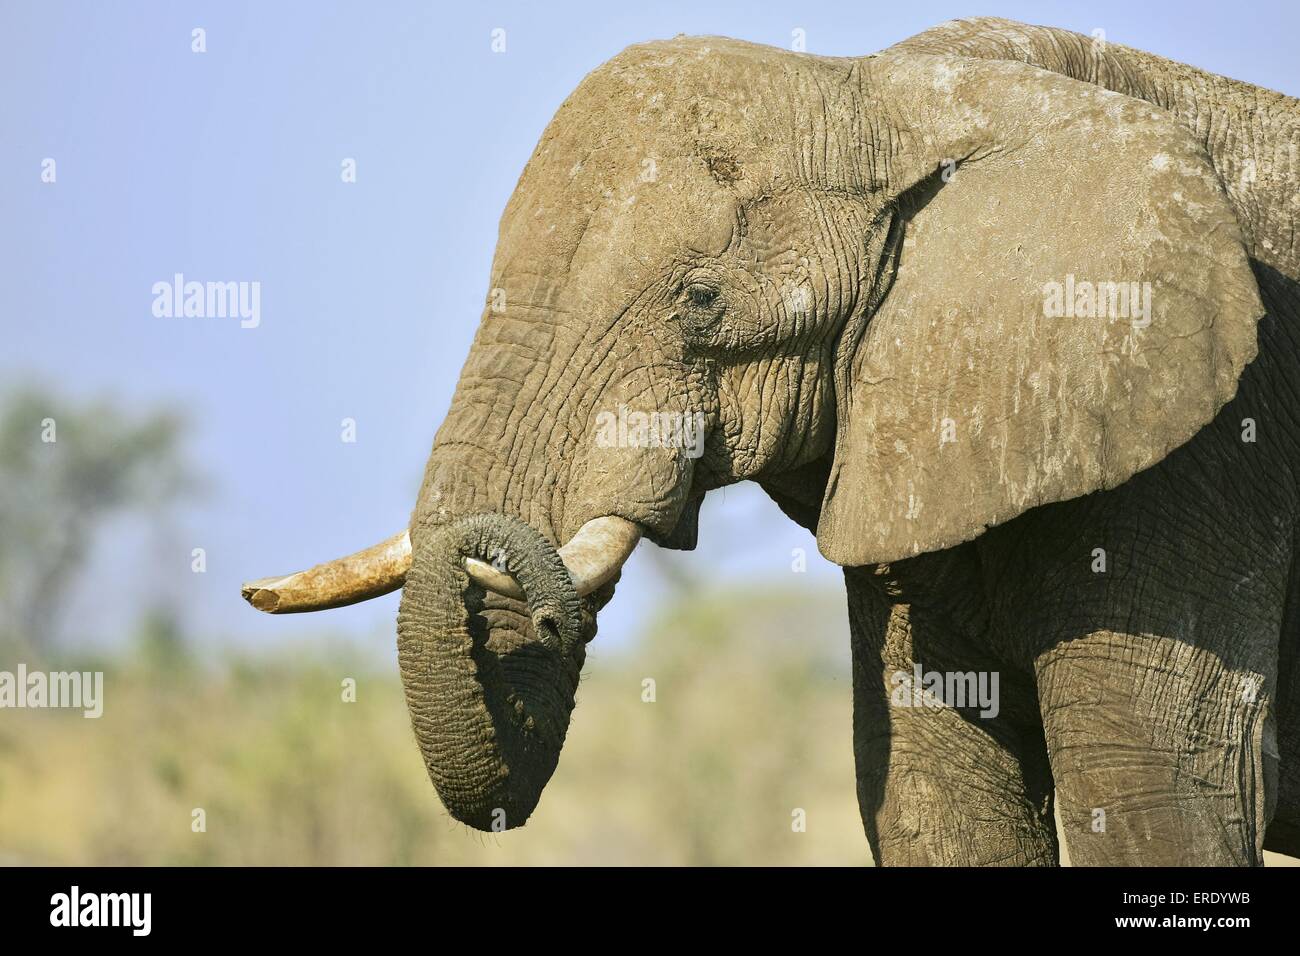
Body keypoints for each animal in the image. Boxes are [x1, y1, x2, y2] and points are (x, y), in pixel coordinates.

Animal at [242, 17, 1300, 866]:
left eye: (700, 300)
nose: (522, 583)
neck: (887, 88)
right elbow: (932, 800)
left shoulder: (1212, 454)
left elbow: (1153, 796)